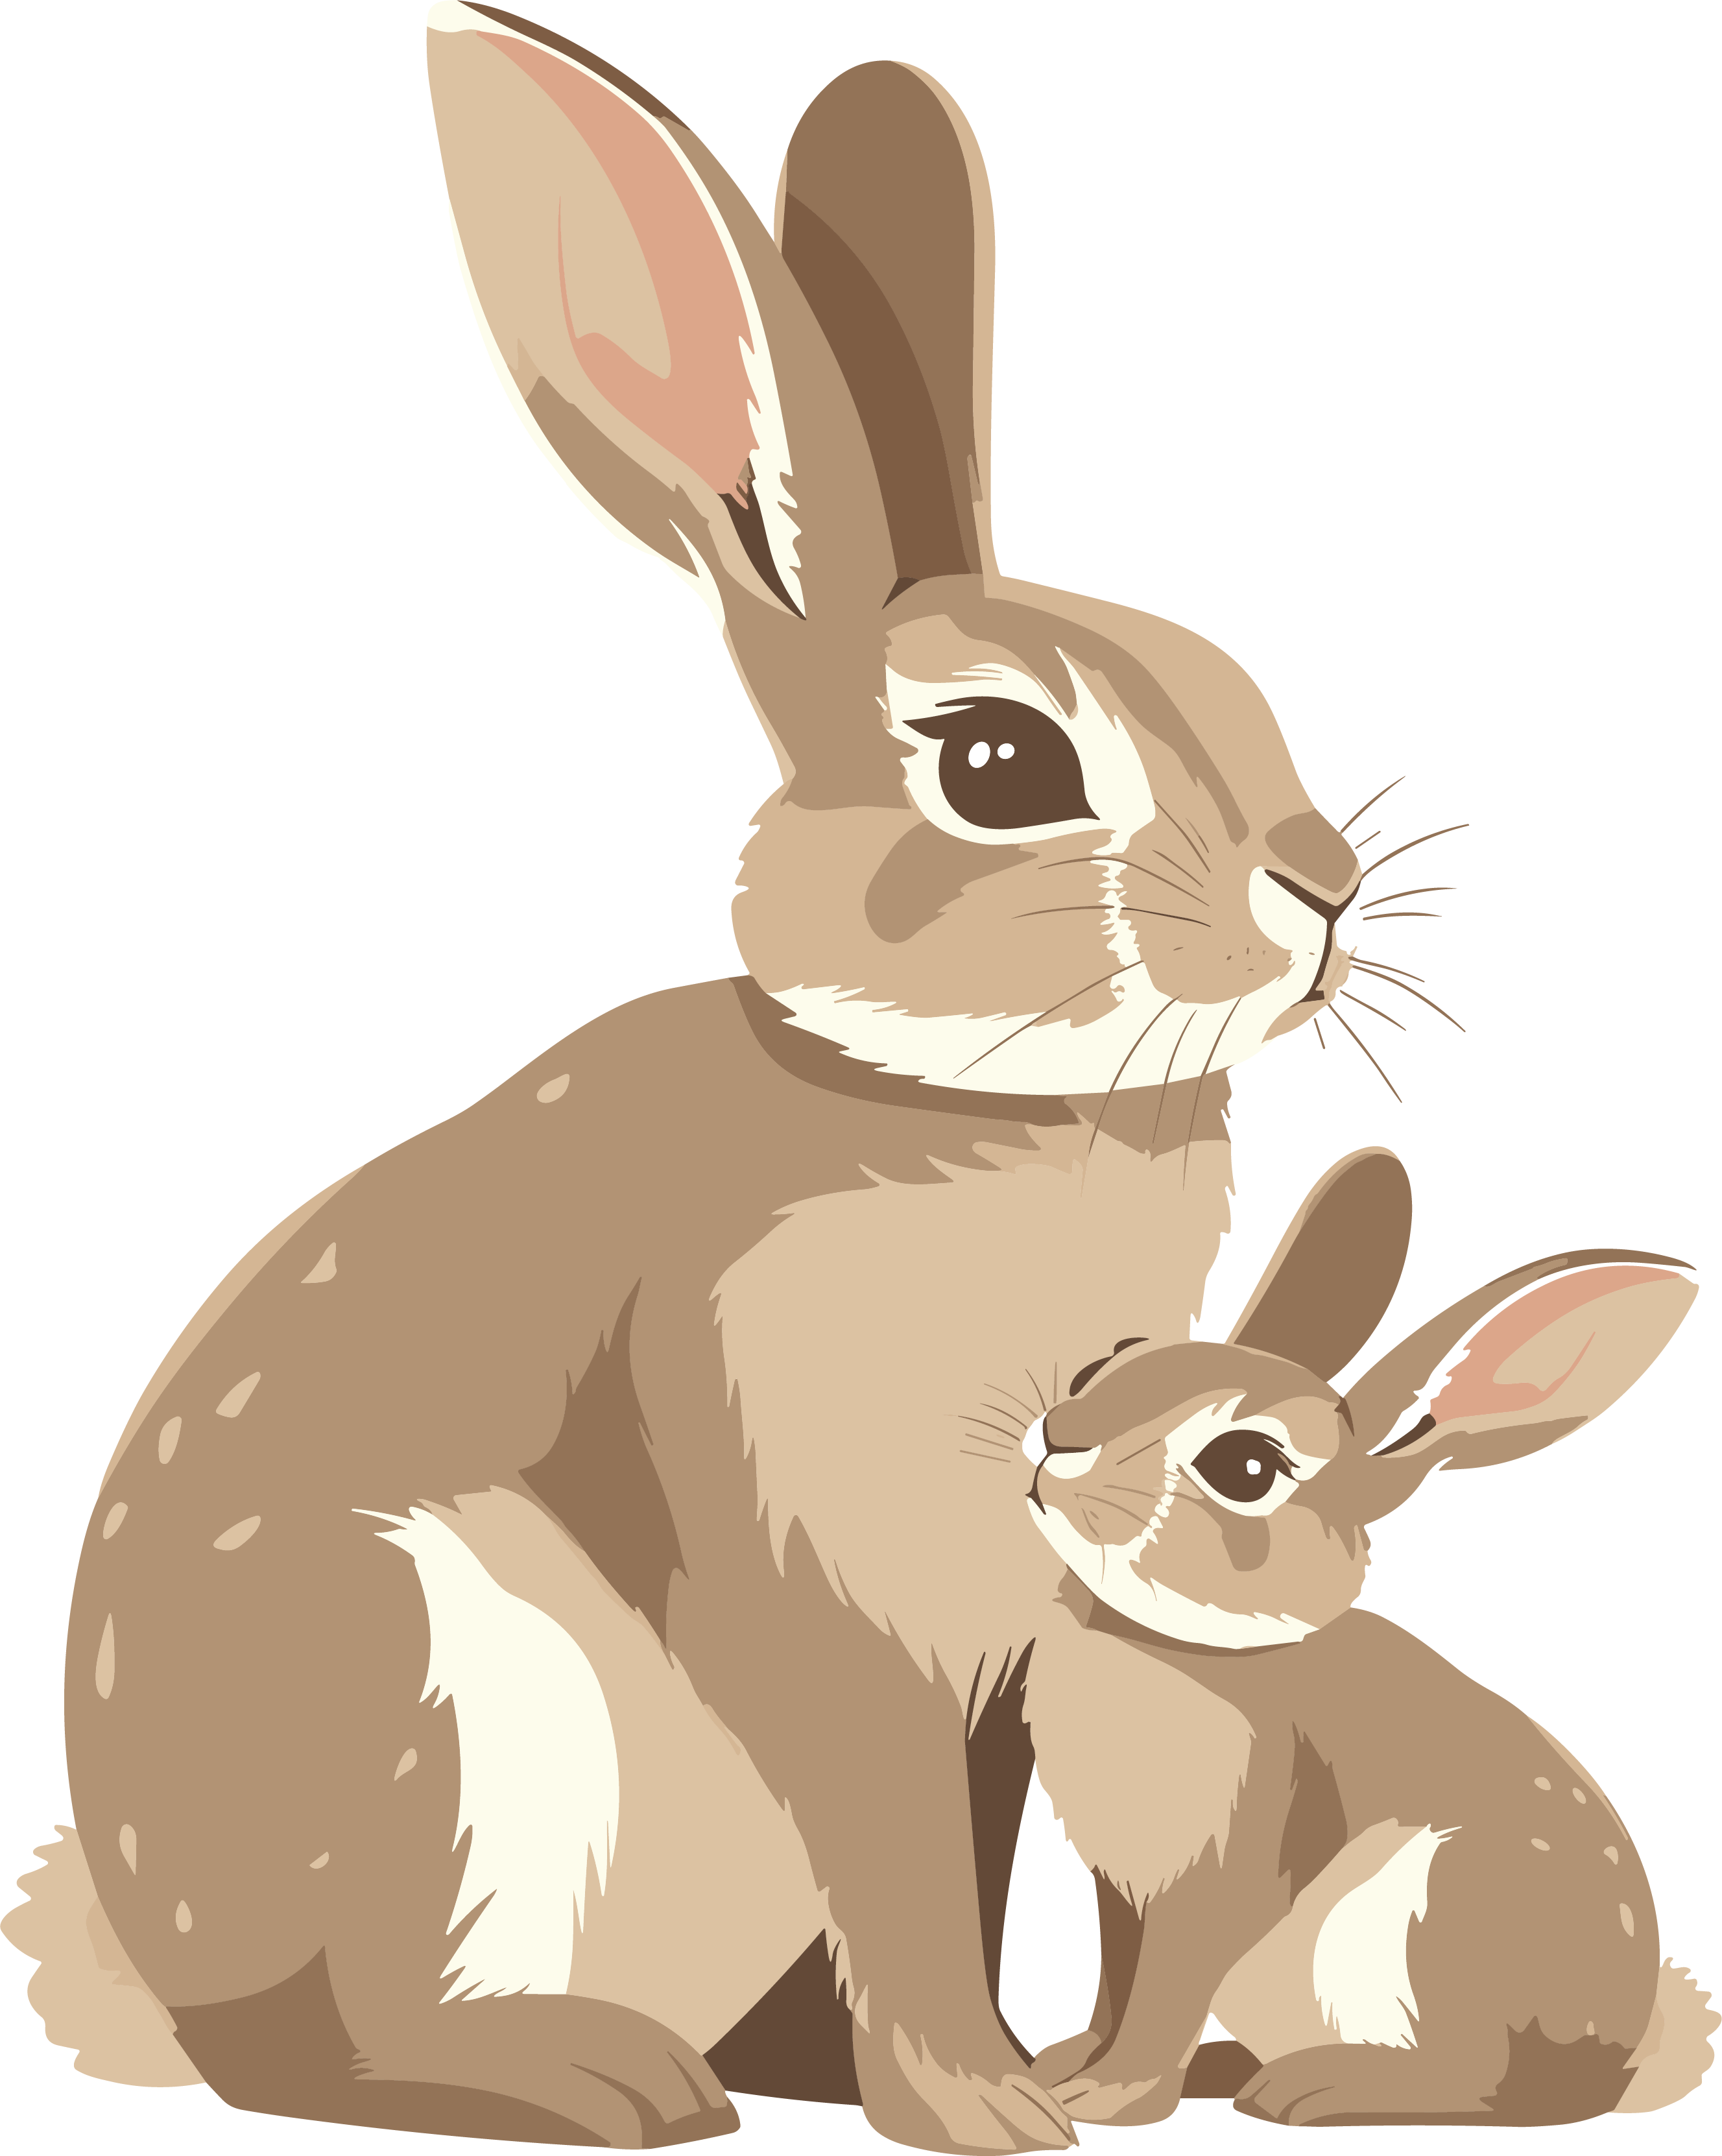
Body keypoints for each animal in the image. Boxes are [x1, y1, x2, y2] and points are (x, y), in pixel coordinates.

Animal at [35, 7, 1373, 2150]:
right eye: (998, 764)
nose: (1318, 888)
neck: (951, 1103)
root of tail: (161, 1979)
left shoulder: (1009, 1636)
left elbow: (966, 1851)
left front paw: (968, 2076)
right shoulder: (798, 1543)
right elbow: (889, 1839)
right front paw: (980, 2109)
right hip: (432, 1705)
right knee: (326, 2044)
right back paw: (579, 2072)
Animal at [1015, 1148, 1713, 2127]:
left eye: (1245, 1468)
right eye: (1108, 1362)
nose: (1058, 1442)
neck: (1196, 1649)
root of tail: (1613, 2068)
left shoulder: (1221, 1872)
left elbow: (1163, 1993)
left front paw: (1107, 2100)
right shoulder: (1121, 1892)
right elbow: (1115, 1984)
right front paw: (1063, 2066)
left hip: (1445, 1914)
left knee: (1487, 2084)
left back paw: (1316, 2088)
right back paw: (1235, 2069)